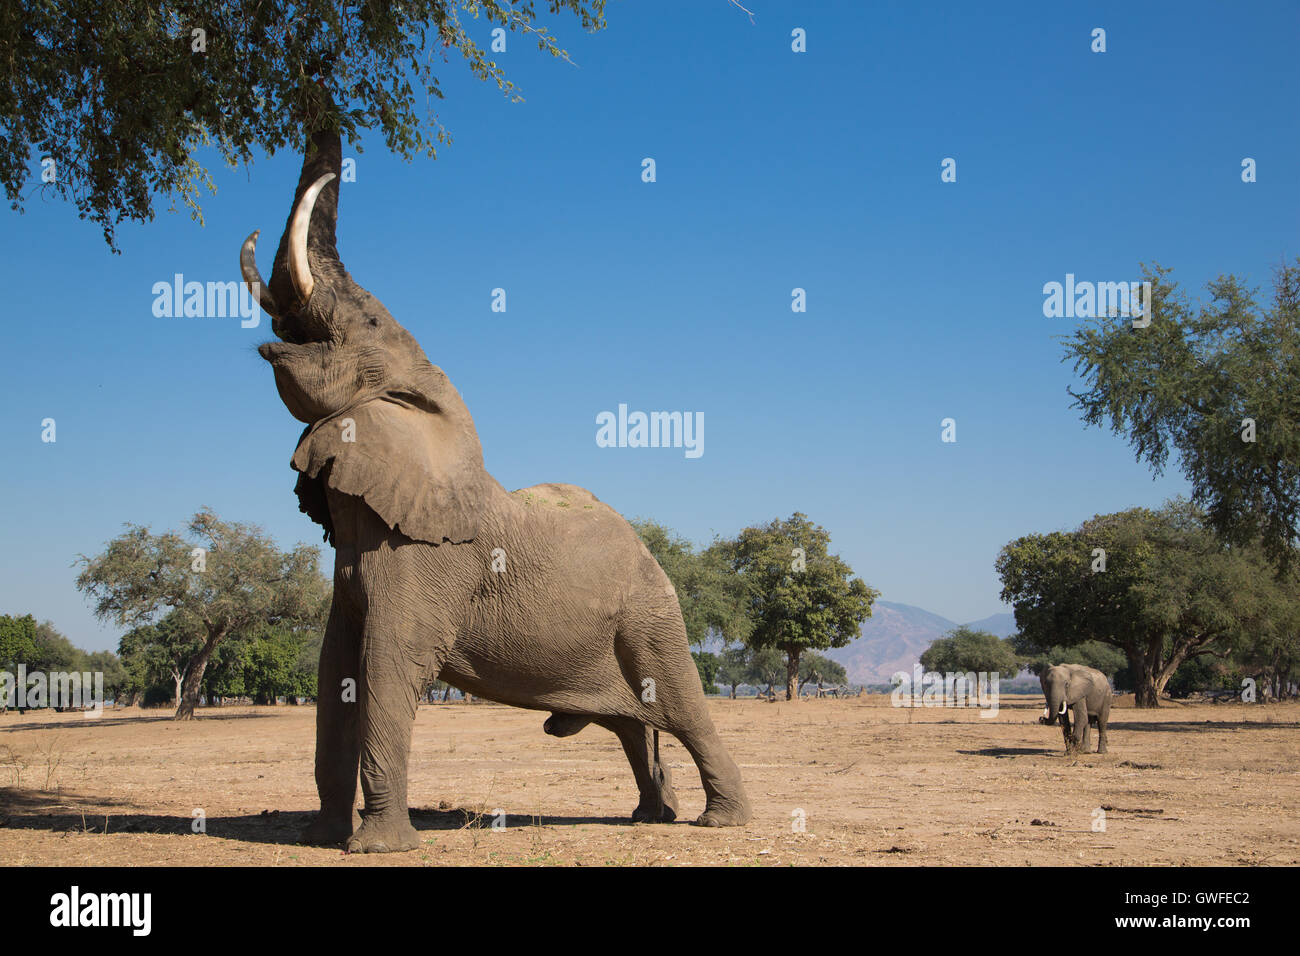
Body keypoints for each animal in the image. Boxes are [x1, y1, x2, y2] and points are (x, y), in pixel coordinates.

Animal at [240, 121, 751, 852]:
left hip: (650, 614)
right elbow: (334, 669)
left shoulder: (426, 560)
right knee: (635, 723)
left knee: (680, 706)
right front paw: (321, 839)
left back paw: (720, 821)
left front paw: (379, 848)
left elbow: (386, 664)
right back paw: (651, 817)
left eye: (370, 324)